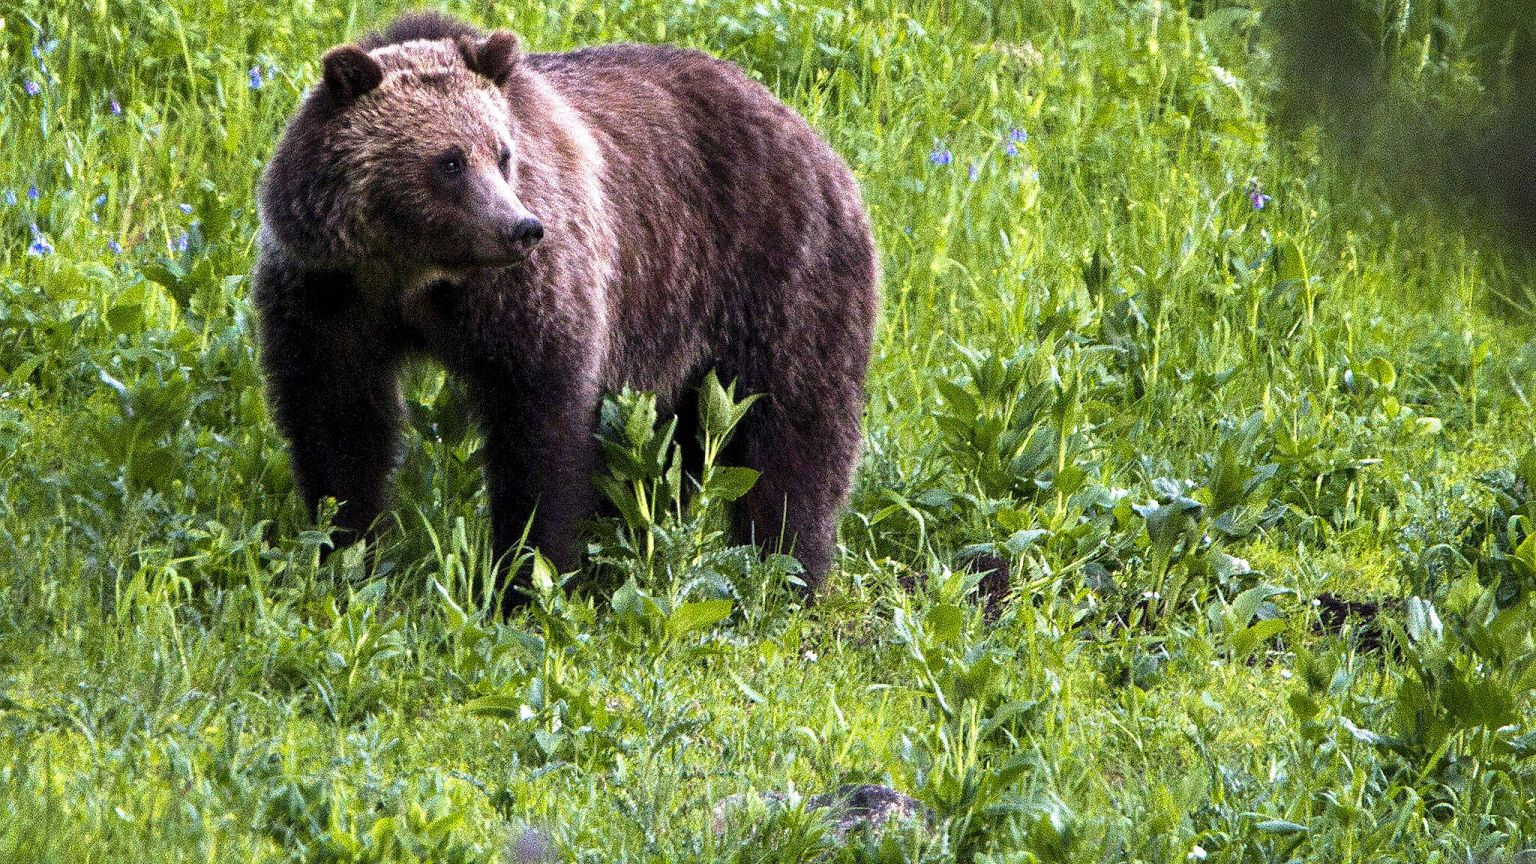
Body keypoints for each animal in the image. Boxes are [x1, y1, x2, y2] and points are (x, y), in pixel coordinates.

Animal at [253, 12, 878, 608]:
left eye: (502, 153)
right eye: (450, 162)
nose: (521, 227)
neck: (414, 274)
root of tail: (807, 130)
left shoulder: (527, 297)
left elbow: (540, 430)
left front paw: (527, 577)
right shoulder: (328, 296)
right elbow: (338, 422)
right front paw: (345, 549)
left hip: (775, 275)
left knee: (794, 430)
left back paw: (788, 569)